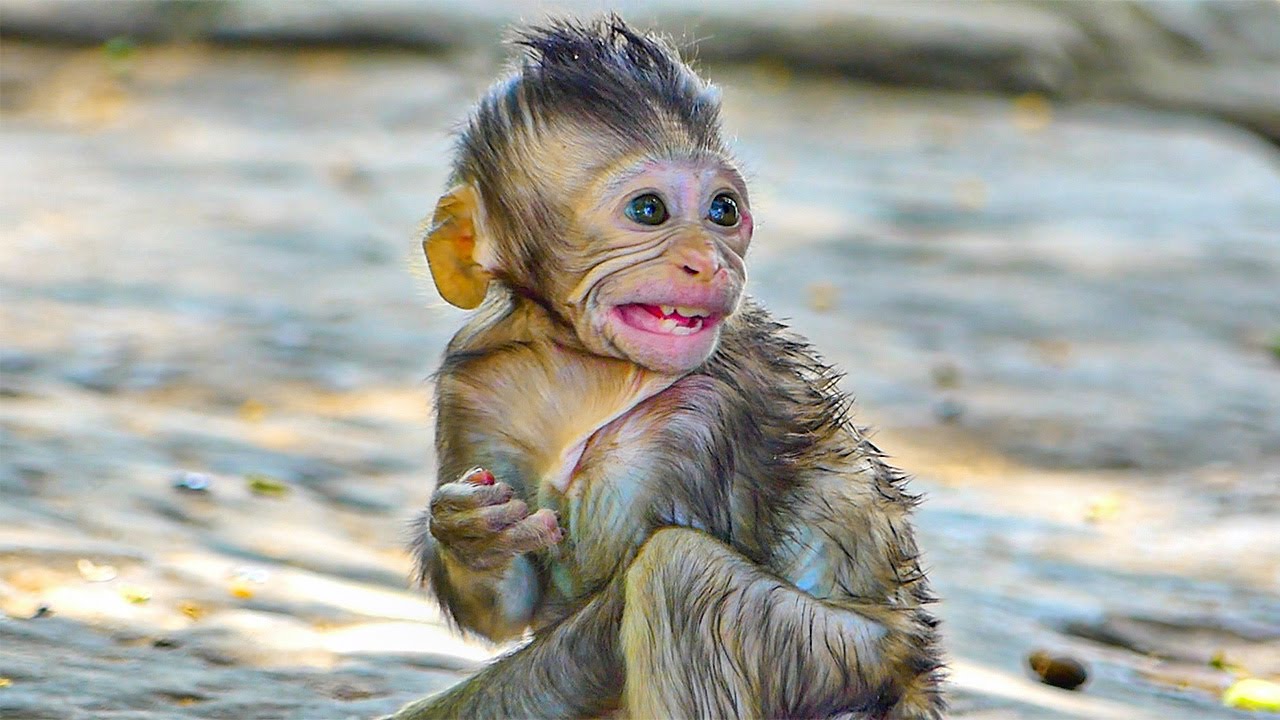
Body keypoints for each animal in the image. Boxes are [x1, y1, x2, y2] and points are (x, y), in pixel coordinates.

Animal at [389, 15, 944, 720]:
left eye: (723, 211)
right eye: (648, 210)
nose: (709, 261)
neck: (587, 367)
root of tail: (917, 674)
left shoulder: (699, 417)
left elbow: (598, 611)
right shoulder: (475, 384)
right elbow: (512, 601)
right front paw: (470, 532)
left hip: (842, 664)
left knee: (678, 574)